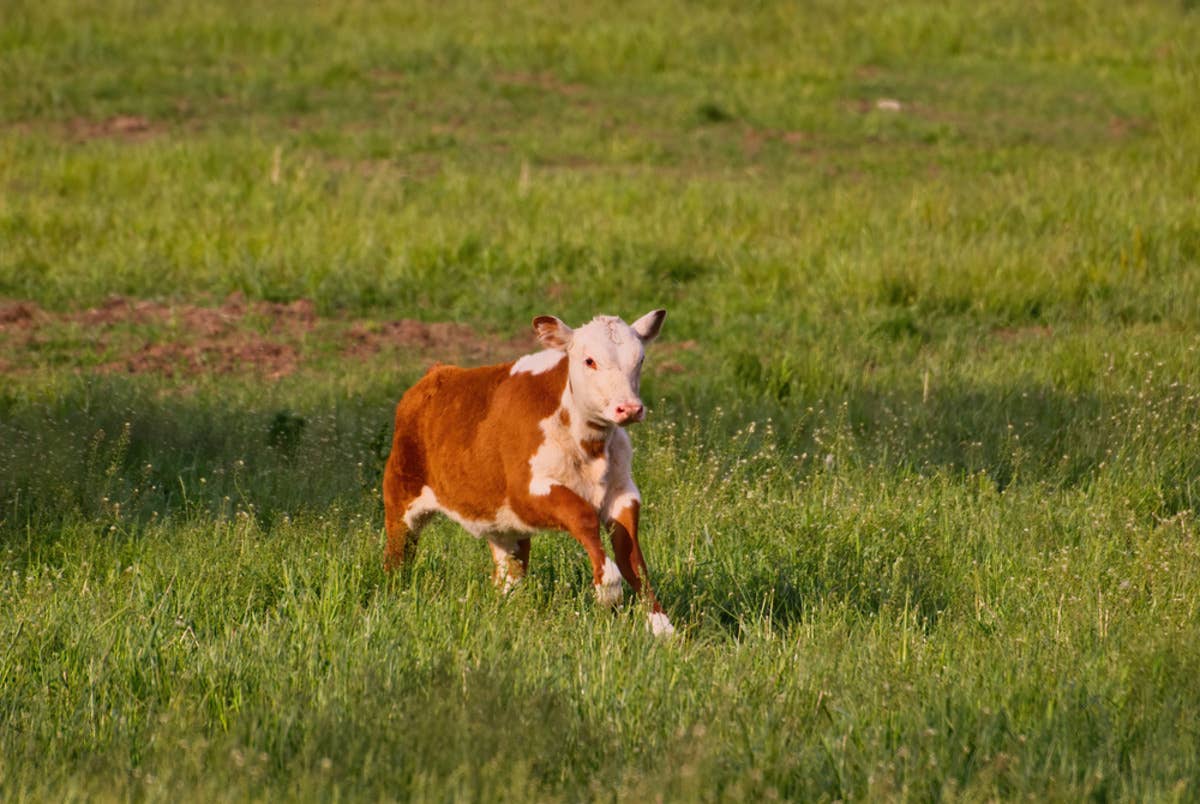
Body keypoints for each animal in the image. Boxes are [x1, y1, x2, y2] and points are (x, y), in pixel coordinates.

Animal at [382, 310, 674, 636]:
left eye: (640, 359)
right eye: (589, 360)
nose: (630, 408)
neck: (590, 447)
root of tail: (437, 373)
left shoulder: (623, 493)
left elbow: (633, 561)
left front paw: (662, 627)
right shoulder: (527, 492)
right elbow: (583, 515)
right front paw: (607, 588)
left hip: (501, 523)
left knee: (508, 569)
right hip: (400, 493)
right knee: (398, 555)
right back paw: (394, 593)